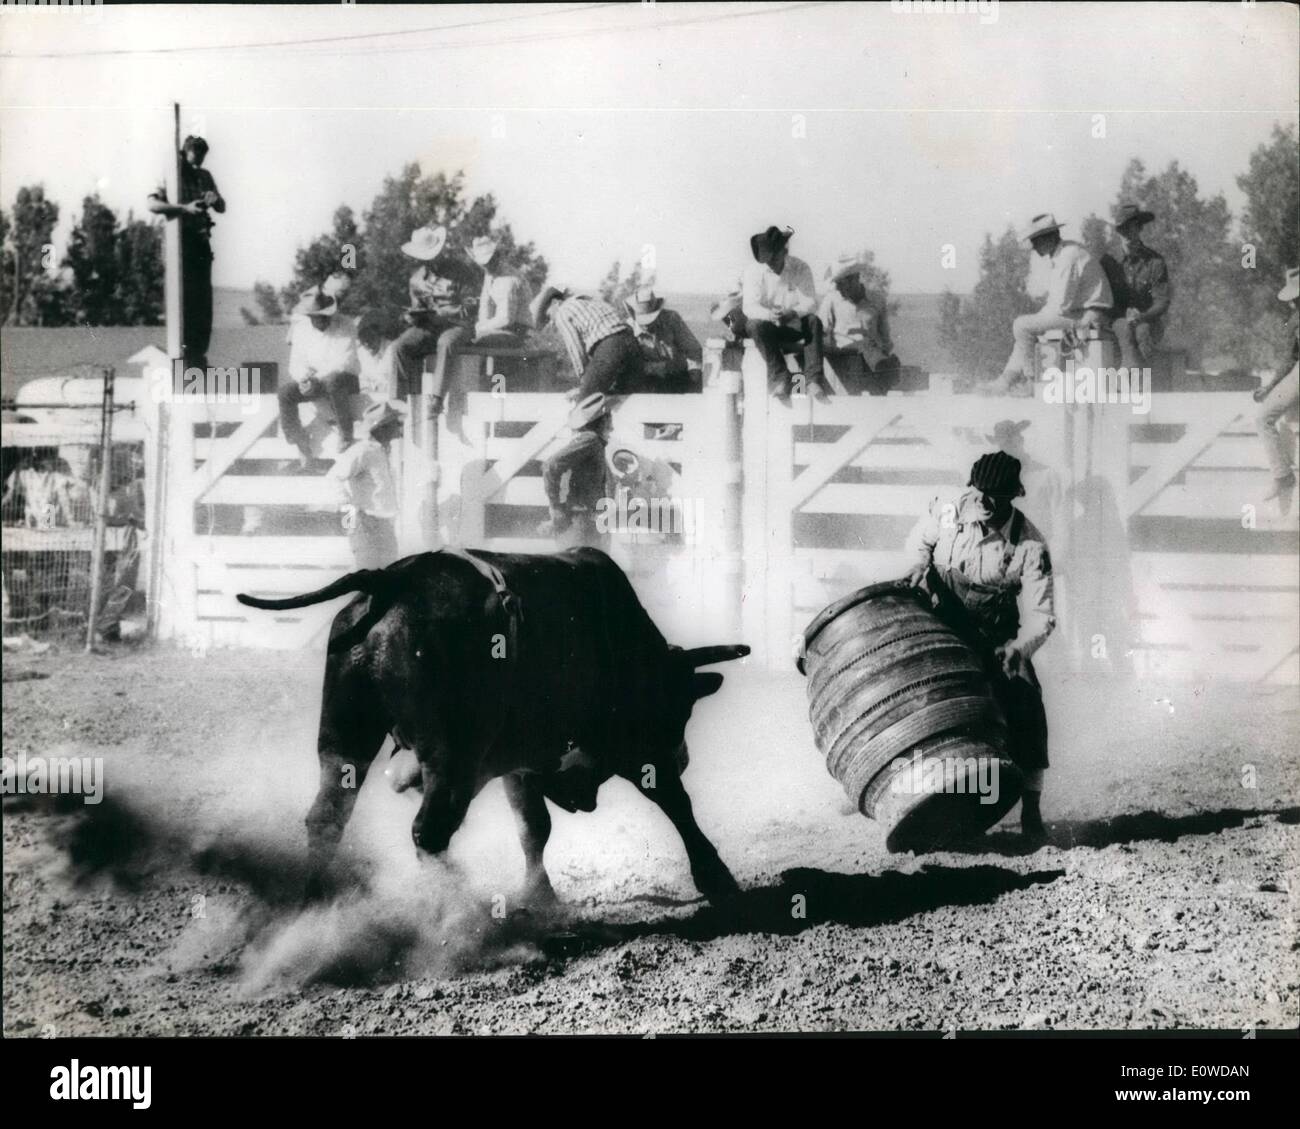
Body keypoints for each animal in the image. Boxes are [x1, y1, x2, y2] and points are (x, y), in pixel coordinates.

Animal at [236, 547, 749, 906]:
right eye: (681, 710)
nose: (685, 756)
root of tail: (394, 580)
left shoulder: (517, 765)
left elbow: (532, 826)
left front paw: (541, 898)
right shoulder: (639, 748)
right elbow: (675, 802)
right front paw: (717, 877)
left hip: (345, 734)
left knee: (328, 816)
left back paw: (315, 906)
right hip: (451, 759)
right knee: (429, 831)